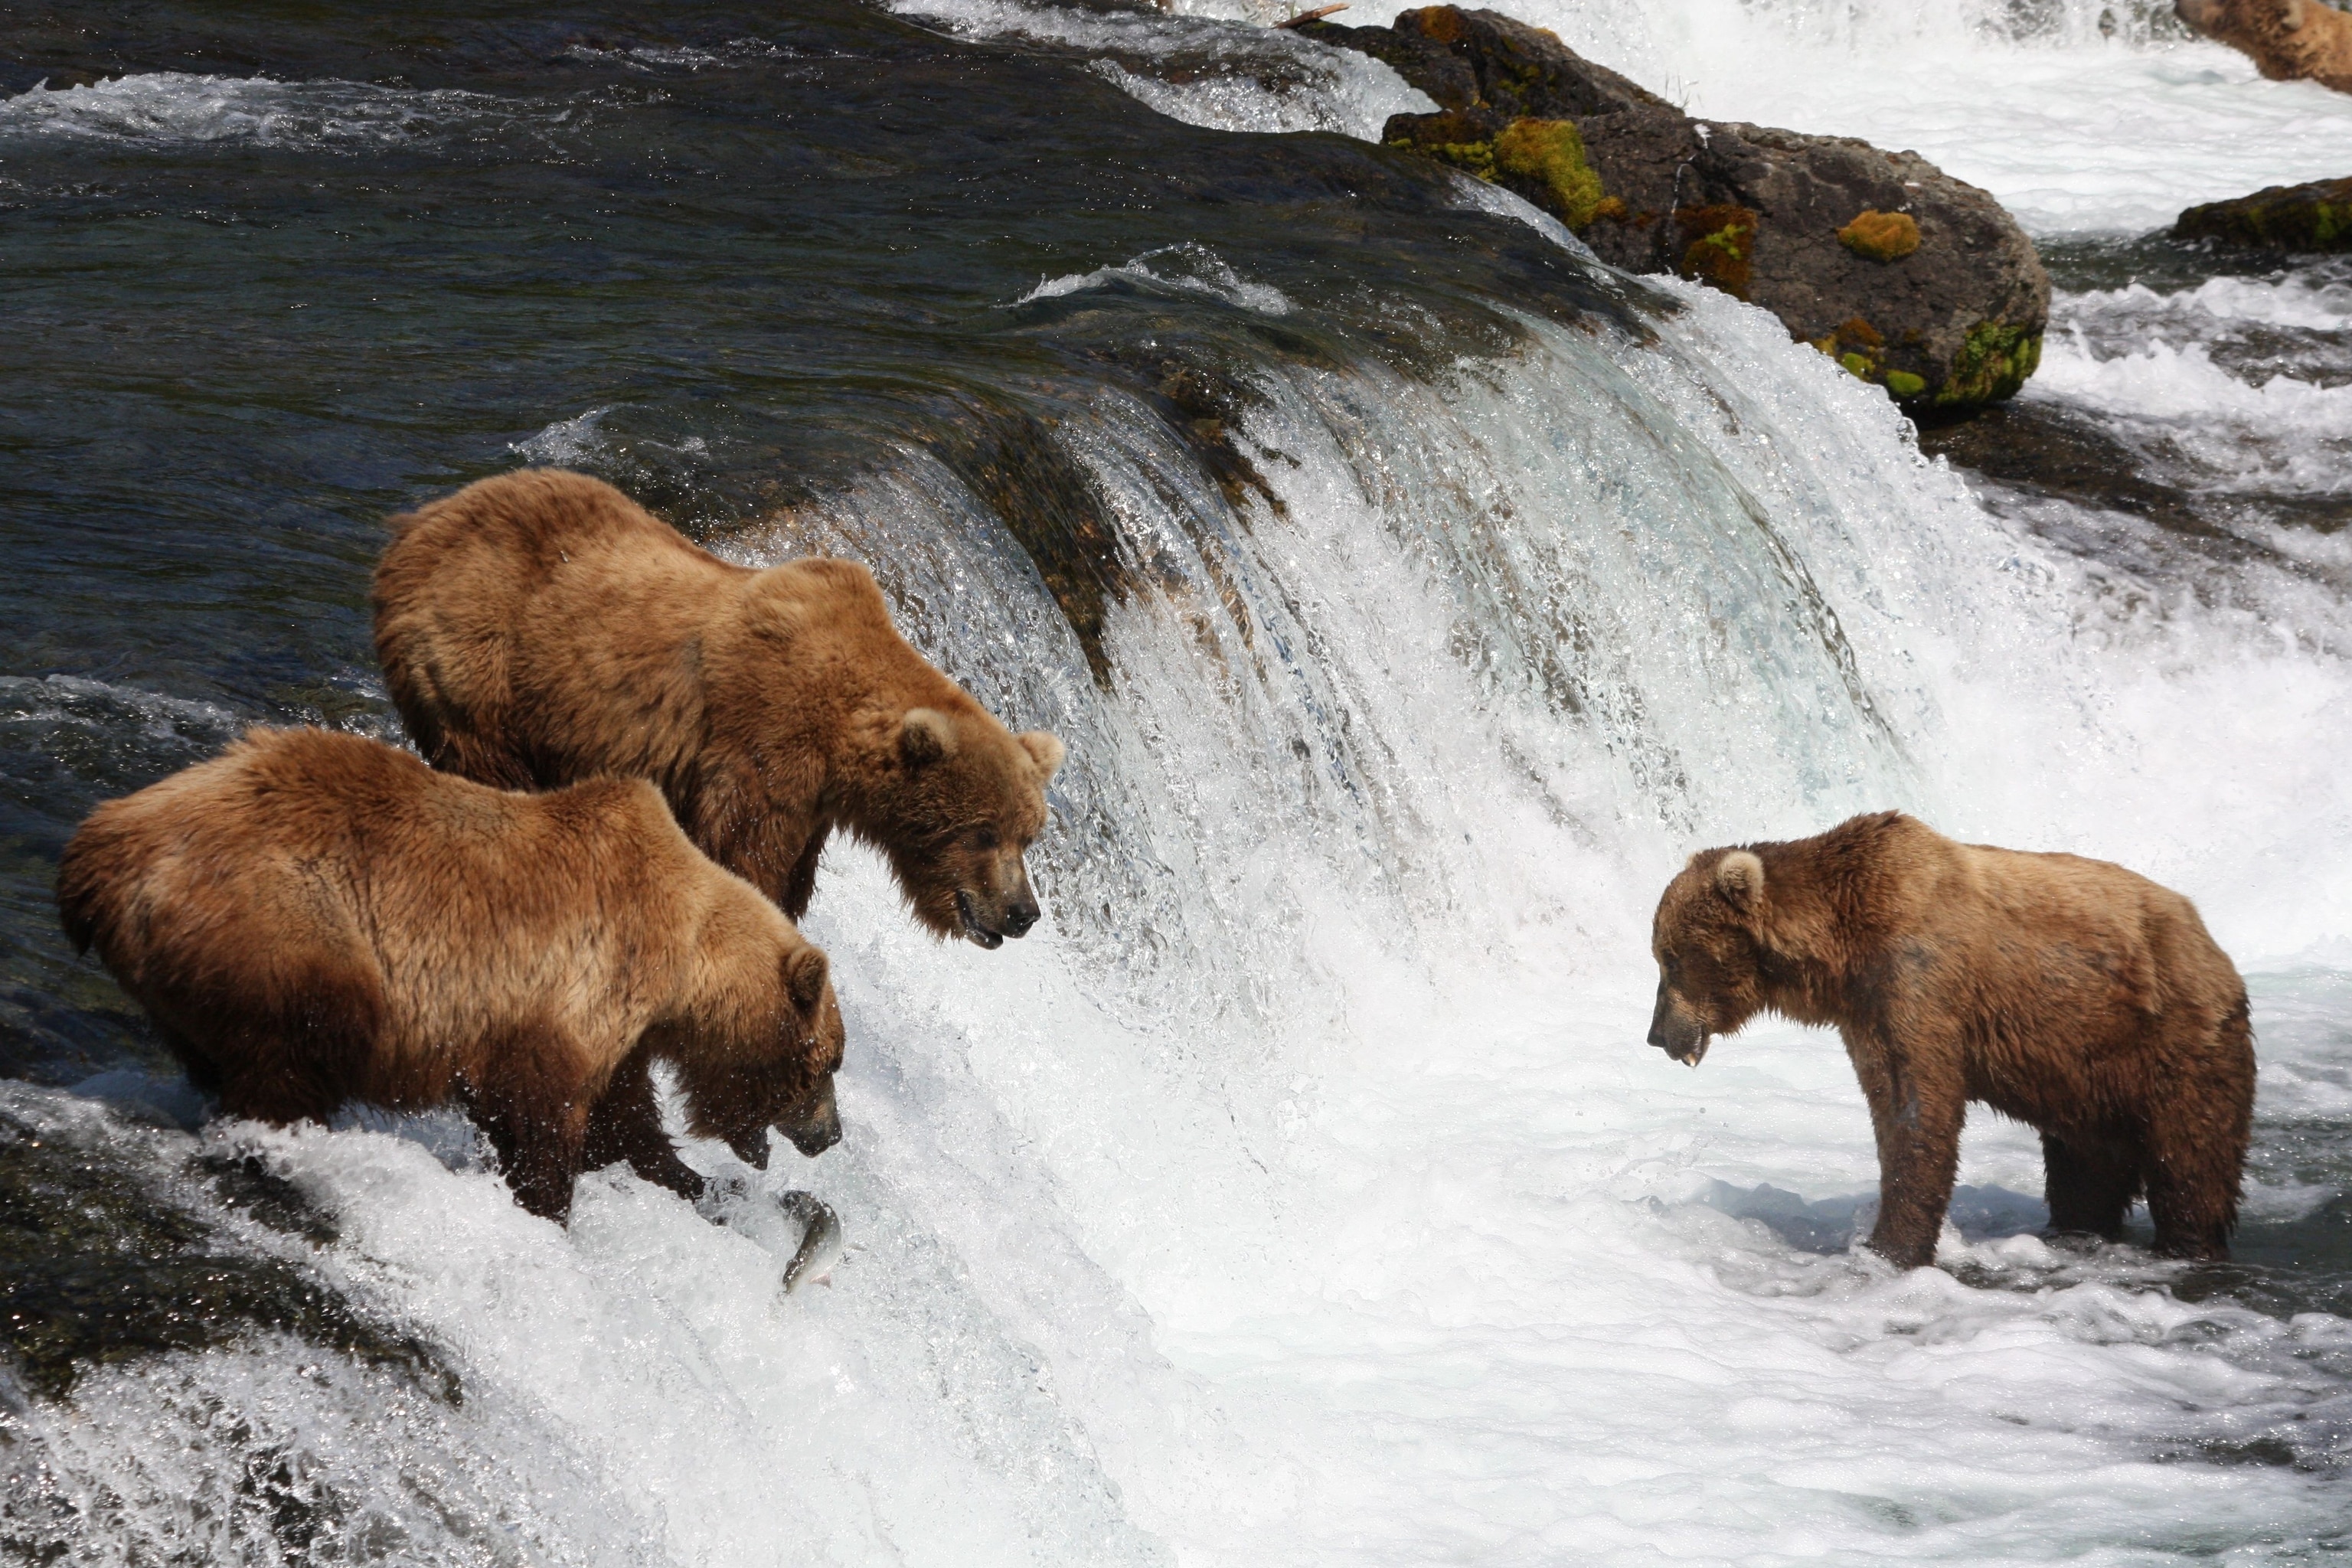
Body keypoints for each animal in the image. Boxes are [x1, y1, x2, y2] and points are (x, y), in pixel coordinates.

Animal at [56, 726, 845, 1223]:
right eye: (828, 1063)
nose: (831, 1135)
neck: (682, 957)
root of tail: (104, 844)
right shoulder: (586, 973)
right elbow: (545, 1109)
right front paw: (548, 1203)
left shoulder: (617, 1026)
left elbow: (621, 1117)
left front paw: (689, 1181)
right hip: (288, 929)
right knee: (296, 1052)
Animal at [371, 468, 1067, 947]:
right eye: (984, 831)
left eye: (1028, 835)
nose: (1023, 913)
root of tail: (419, 523)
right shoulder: (764, 745)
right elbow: (744, 855)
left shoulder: (812, 805)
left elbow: (790, 878)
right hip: (479, 665)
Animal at [1646, 811, 2254, 1268]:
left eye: (1670, 958)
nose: (1655, 1035)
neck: (1840, 949)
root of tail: (2209, 939)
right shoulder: (1867, 1013)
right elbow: (1889, 1105)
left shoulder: (1922, 981)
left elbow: (1920, 1109)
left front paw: (1891, 1245)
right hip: (2086, 1073)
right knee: (2086, 1170)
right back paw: (2075, 1229)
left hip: (2172, 1042)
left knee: (2190, 1163)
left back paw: (2188, 1244)